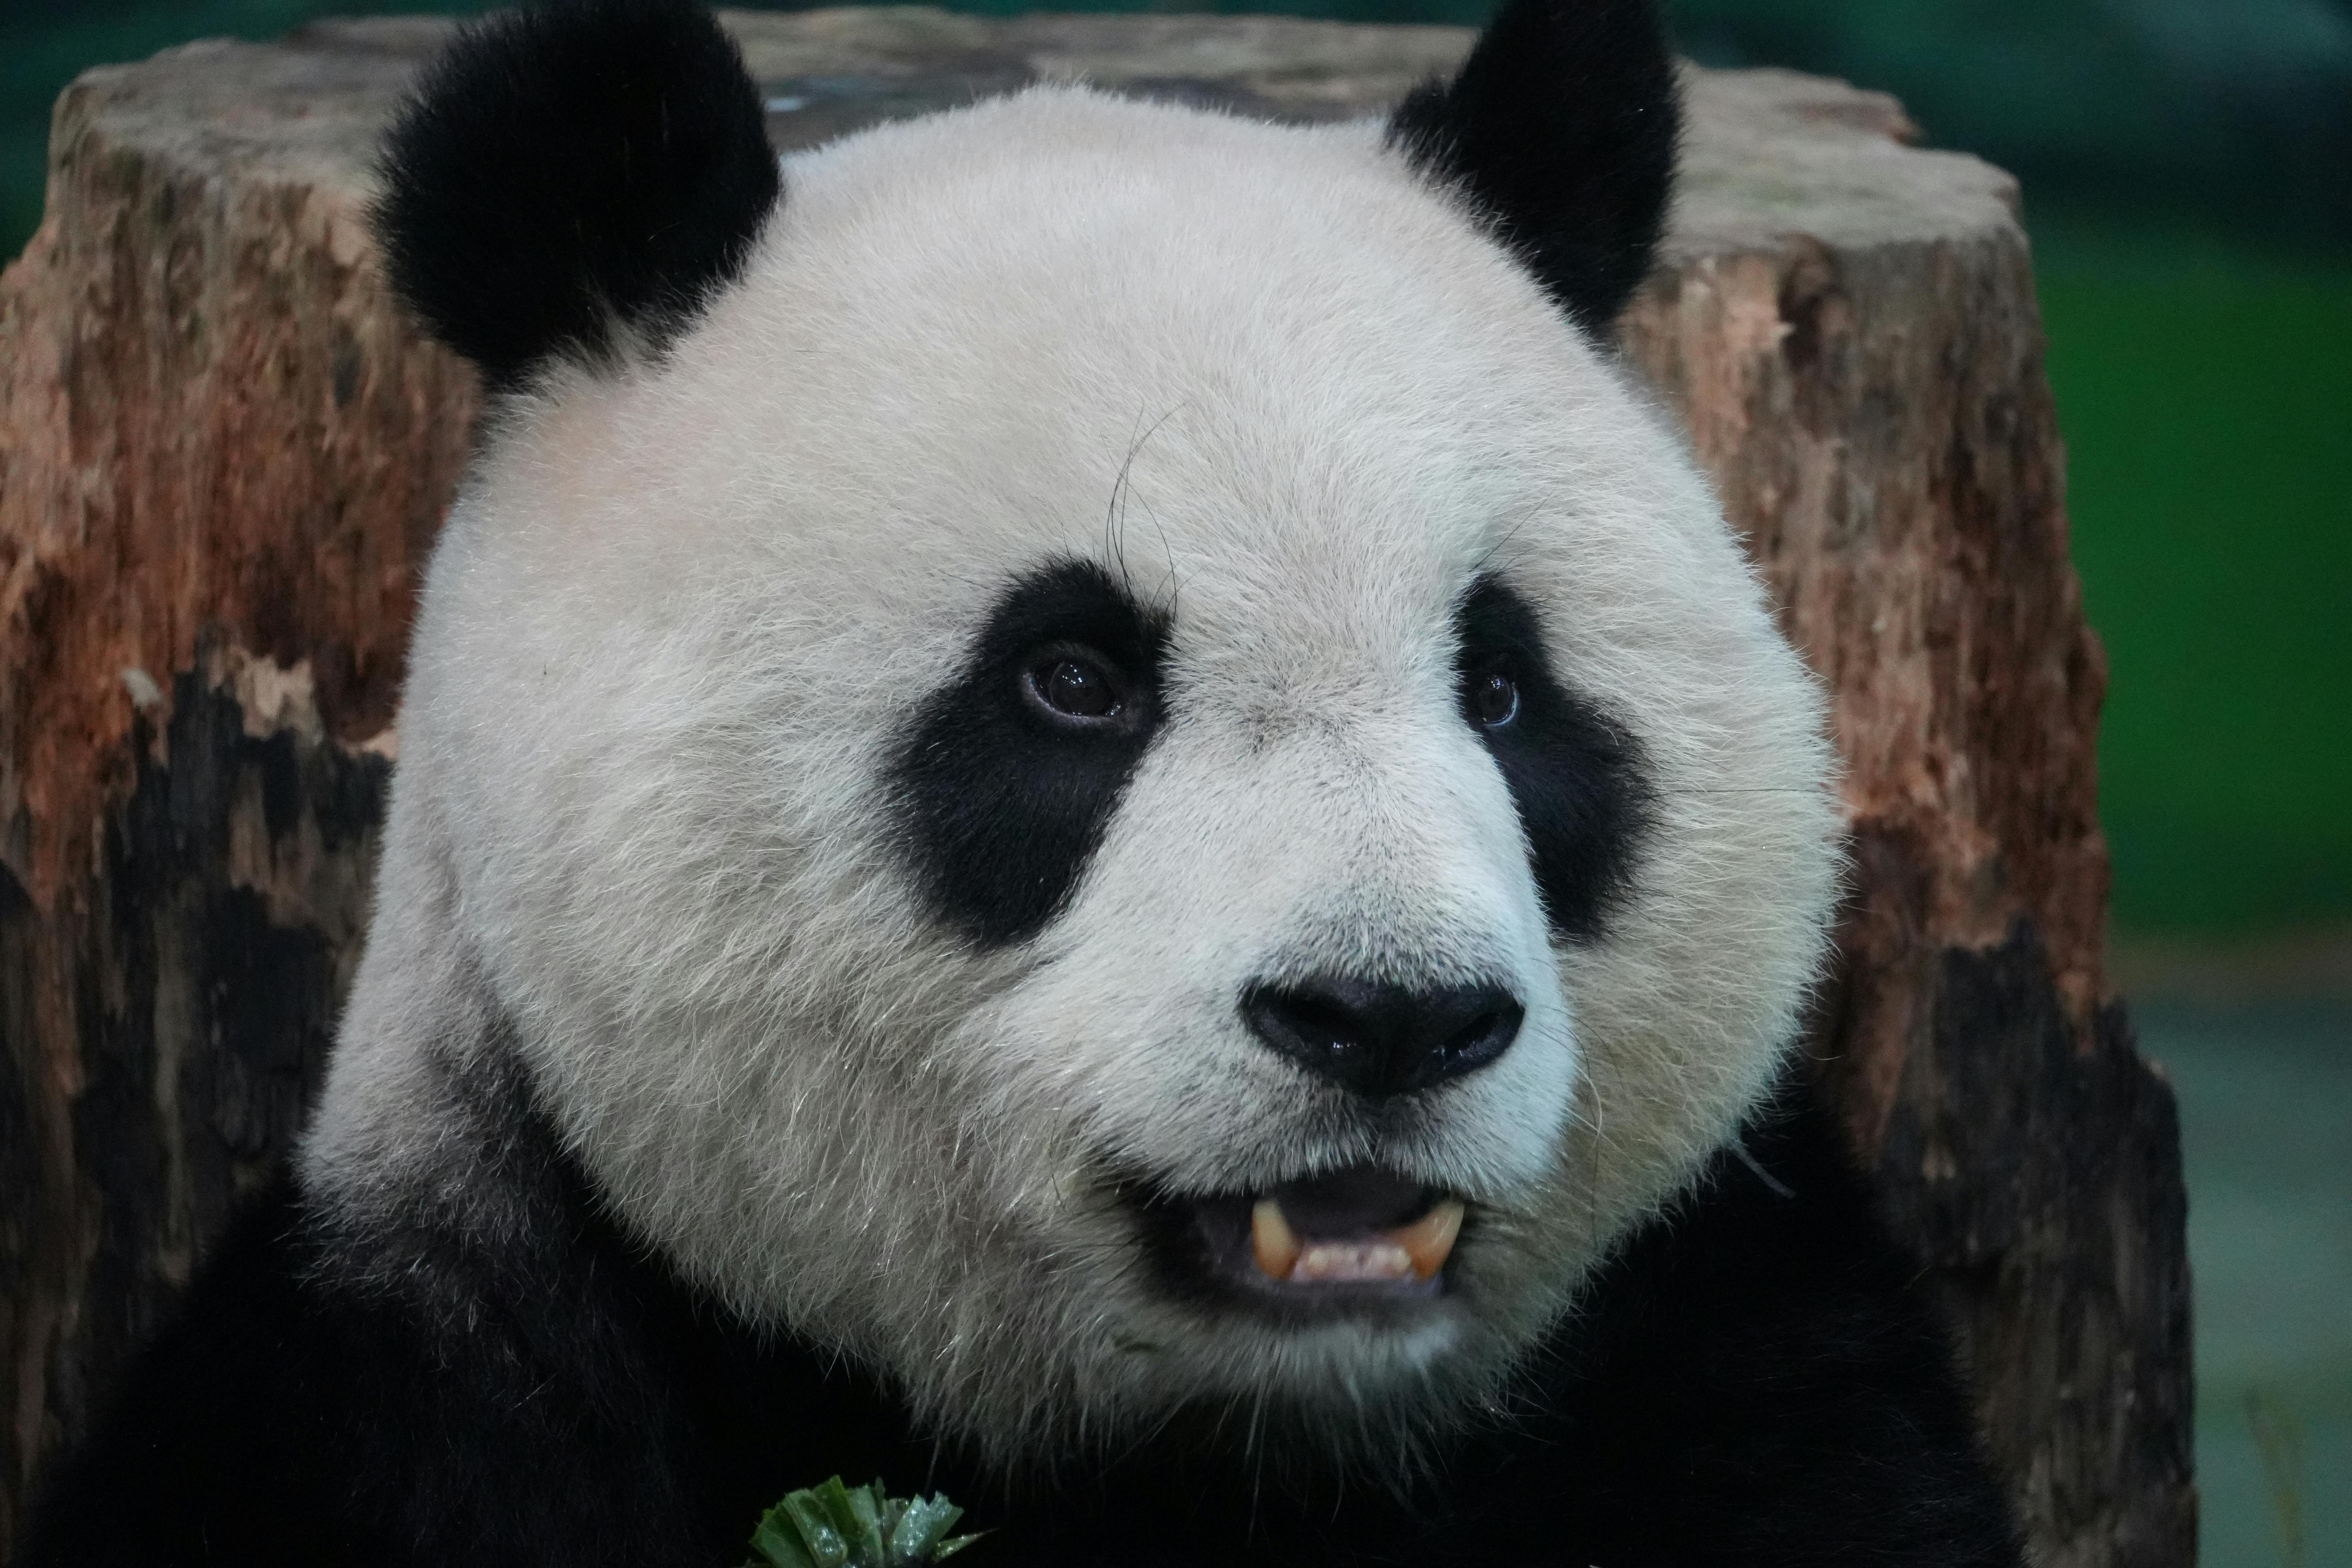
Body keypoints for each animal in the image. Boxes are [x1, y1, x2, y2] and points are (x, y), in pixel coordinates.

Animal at [22, 0, 2023, 1563]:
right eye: (1072, 681)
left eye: (1505, 687)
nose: (1388, 1016)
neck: (1189, 1448)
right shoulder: (433, 1374)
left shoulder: (1722, 1367)